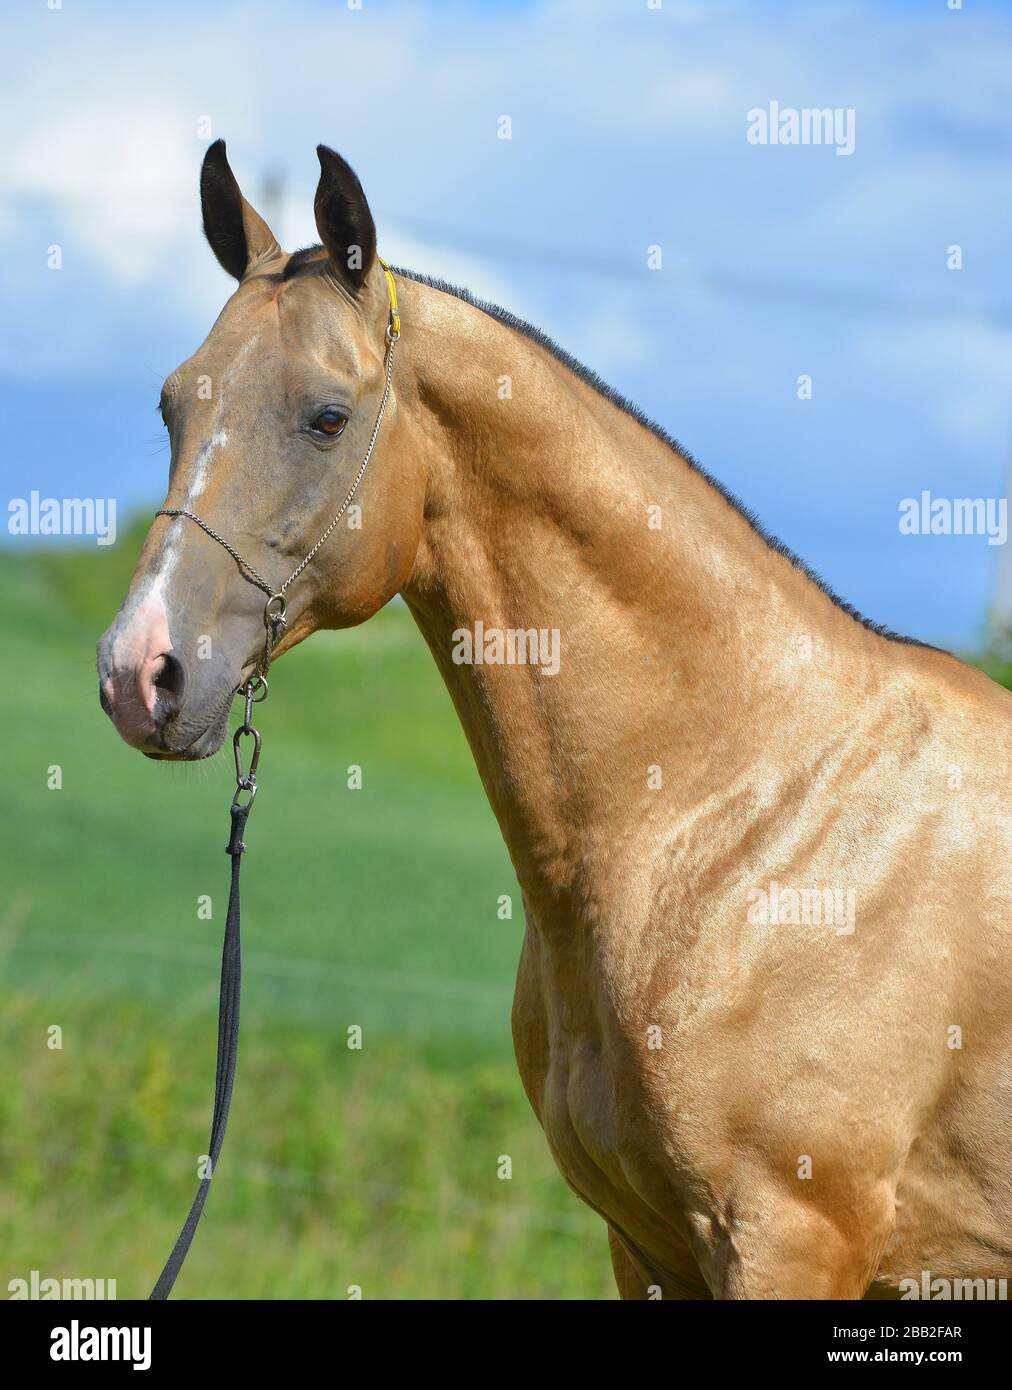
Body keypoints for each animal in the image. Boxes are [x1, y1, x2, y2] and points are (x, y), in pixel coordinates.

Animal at [98, 141, 1011, 1300]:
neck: (742, 819)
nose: (140, 672)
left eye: (326, 417)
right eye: (174, 406)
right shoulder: (647, 1245)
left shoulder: (794, 1238)